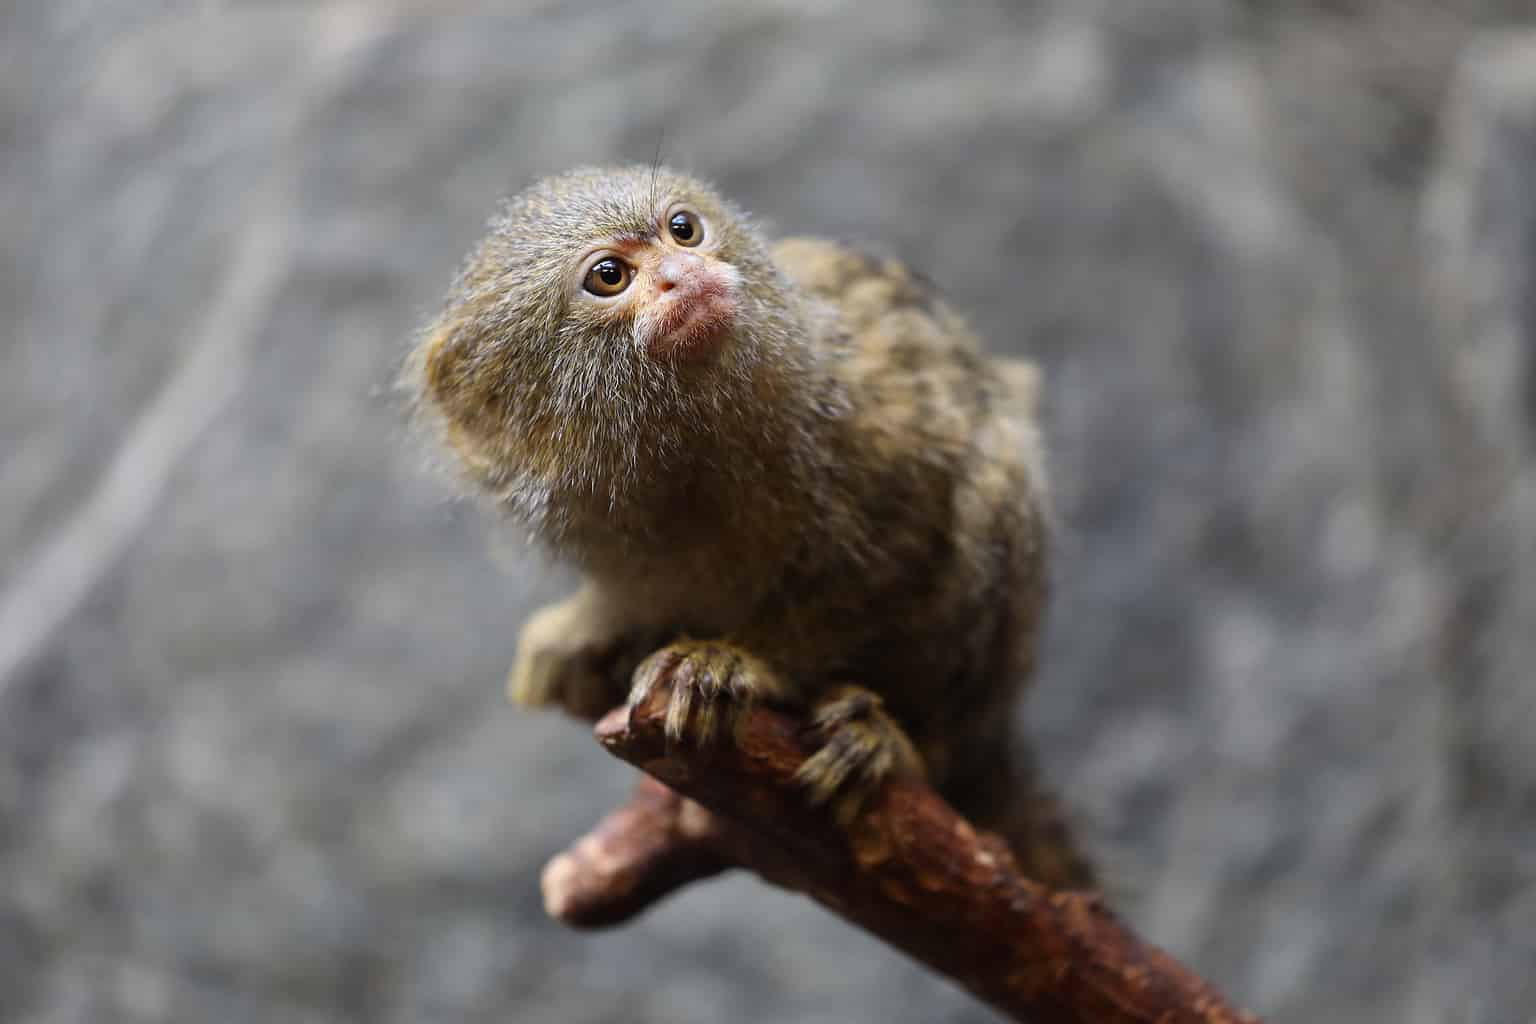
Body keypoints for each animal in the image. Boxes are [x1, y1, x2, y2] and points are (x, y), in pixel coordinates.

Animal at [406, 165, 1094, 889]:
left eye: (683, 229)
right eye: (608, 276)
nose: (684, 272)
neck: (689, 448)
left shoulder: (881, 424)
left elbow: (898, 552)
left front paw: (736, 664)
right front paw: (579, 633)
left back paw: (896, 743)